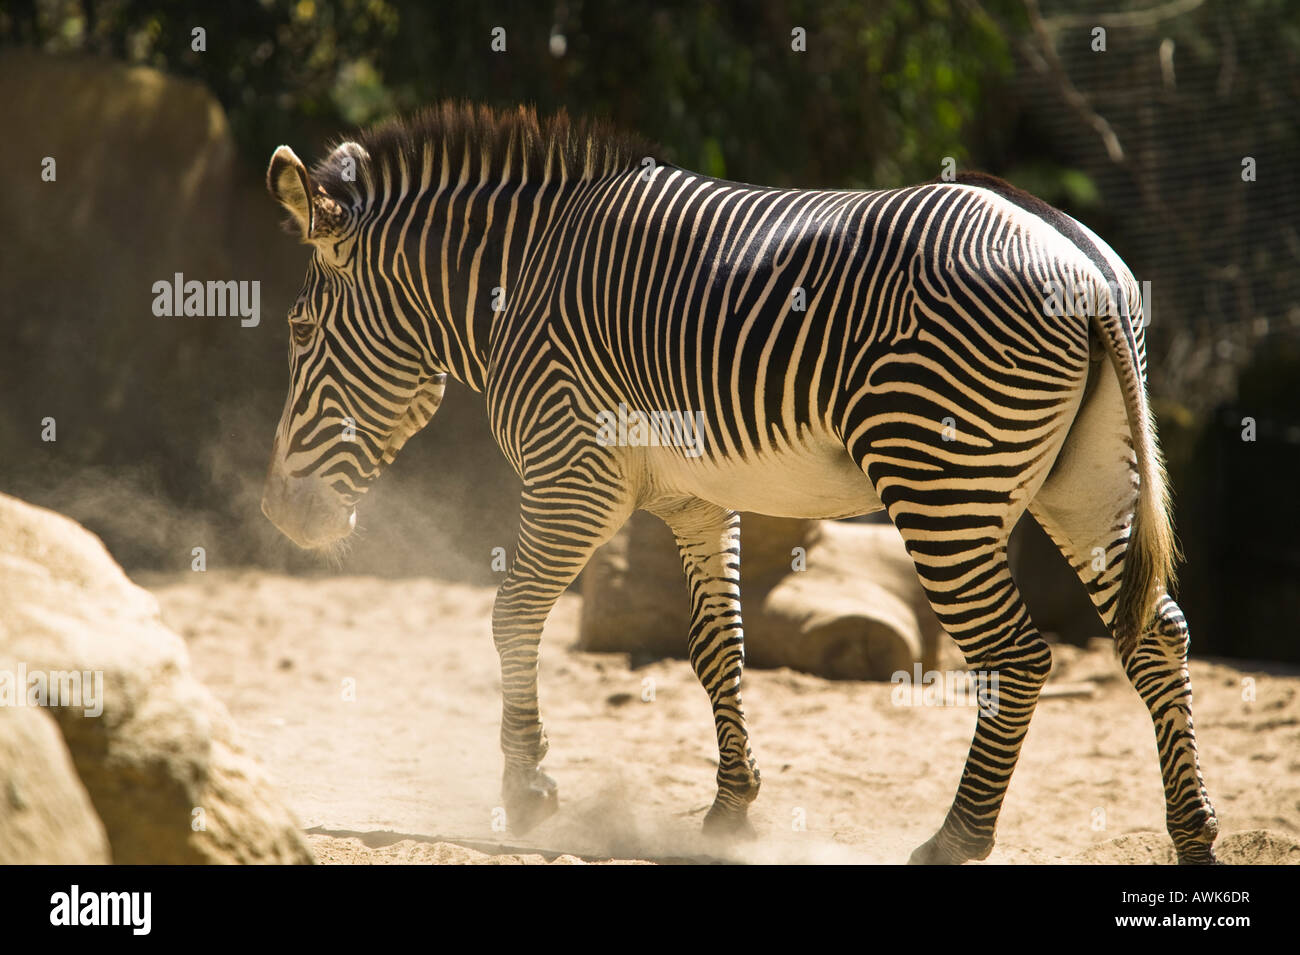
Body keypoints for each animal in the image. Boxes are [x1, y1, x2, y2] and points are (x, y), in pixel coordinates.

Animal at [260, 102, 1218, 864]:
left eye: (300, 330)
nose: (277, 512)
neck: (515, 282)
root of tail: (1084, 262)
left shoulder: (574, 472)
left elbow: (515, 615)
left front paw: (527, 791)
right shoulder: (693, 497)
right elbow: (717, 647)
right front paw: (731, 807)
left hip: (938, 481)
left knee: (1016, 656)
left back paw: (955, 840)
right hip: (1087, 481)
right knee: (1156, 636)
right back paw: (1195, 833)